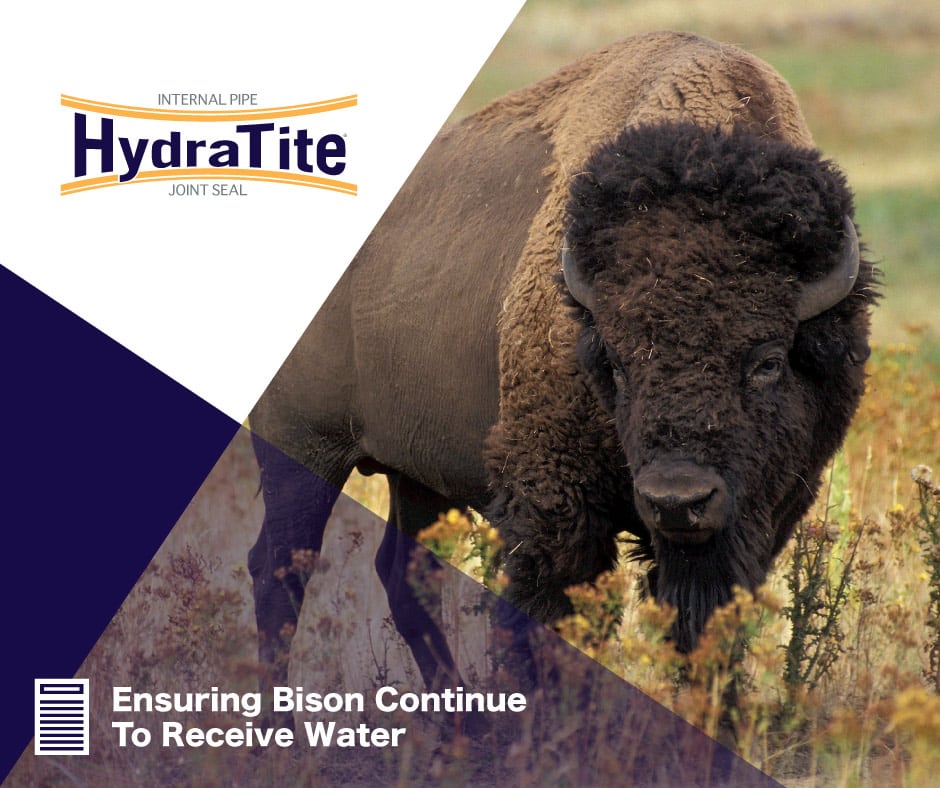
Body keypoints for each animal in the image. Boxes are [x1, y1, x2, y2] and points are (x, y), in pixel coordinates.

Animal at [248, 31, 878, 694]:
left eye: (768, 362)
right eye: (617, 364)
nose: (676, 499)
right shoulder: (554, 508)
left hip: (415, 472)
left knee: (402, 573)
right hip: (302, 448)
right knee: (280, 568)